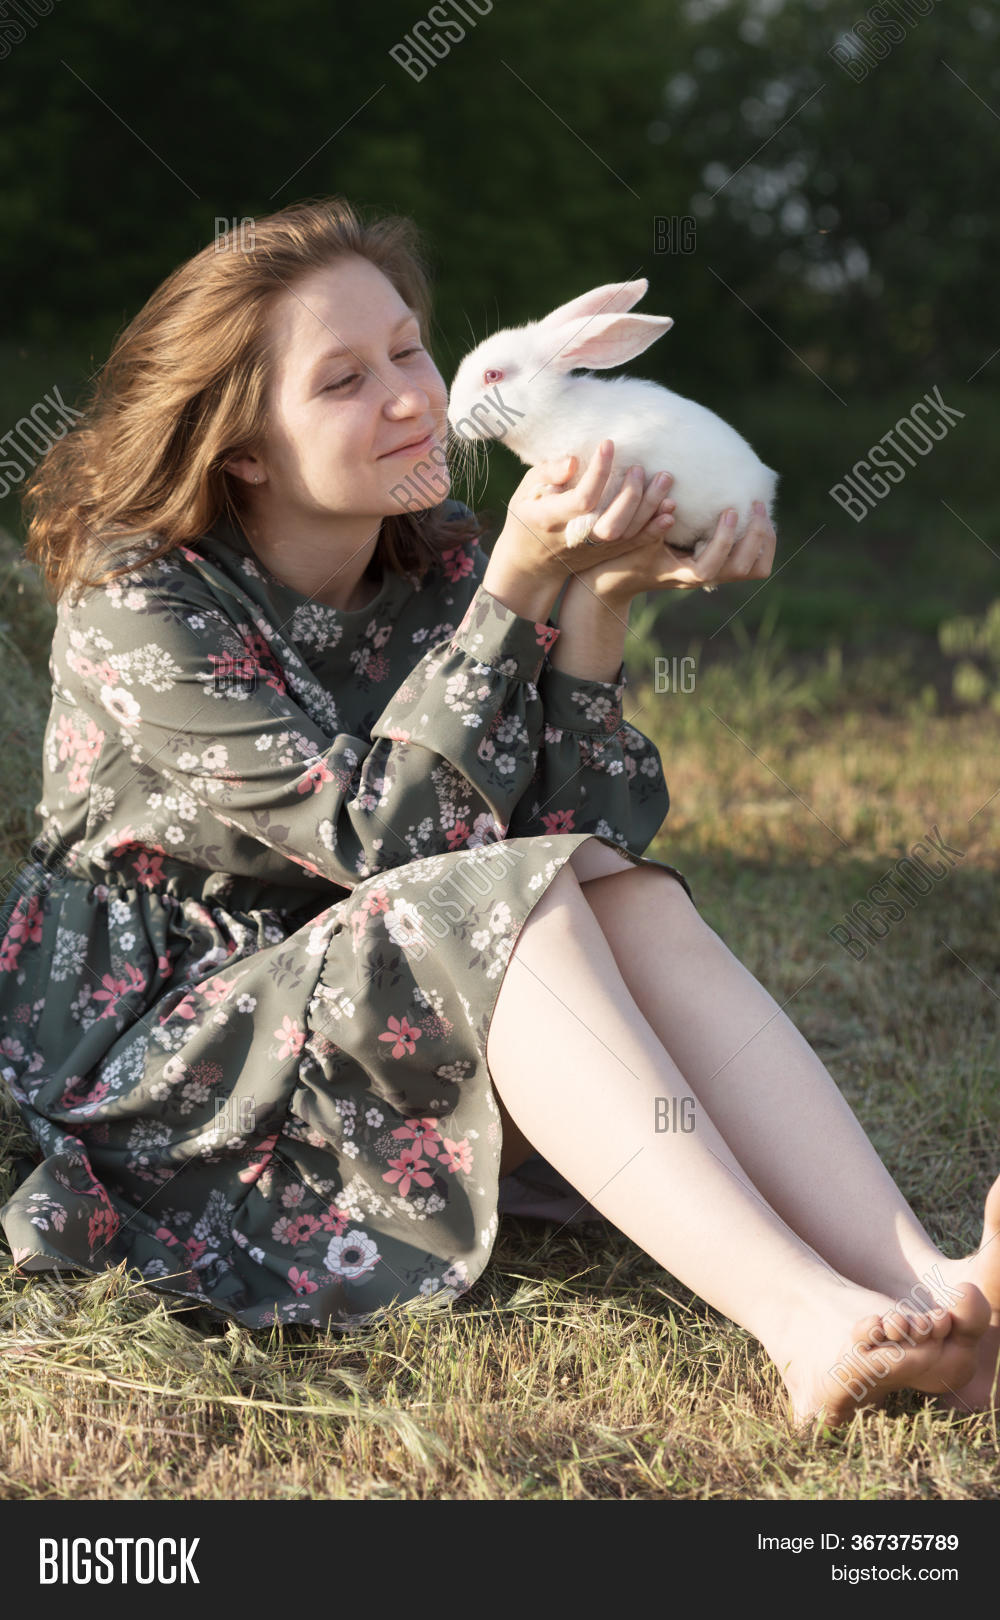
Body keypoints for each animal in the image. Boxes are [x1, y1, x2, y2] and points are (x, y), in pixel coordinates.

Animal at [446, 278, 778, 584]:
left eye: (493, 375)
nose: (451, 416)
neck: (551, 409)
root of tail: (766, 485)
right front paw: (547, 492)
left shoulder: (621, 463)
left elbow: (603, 498)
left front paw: (577, 530)